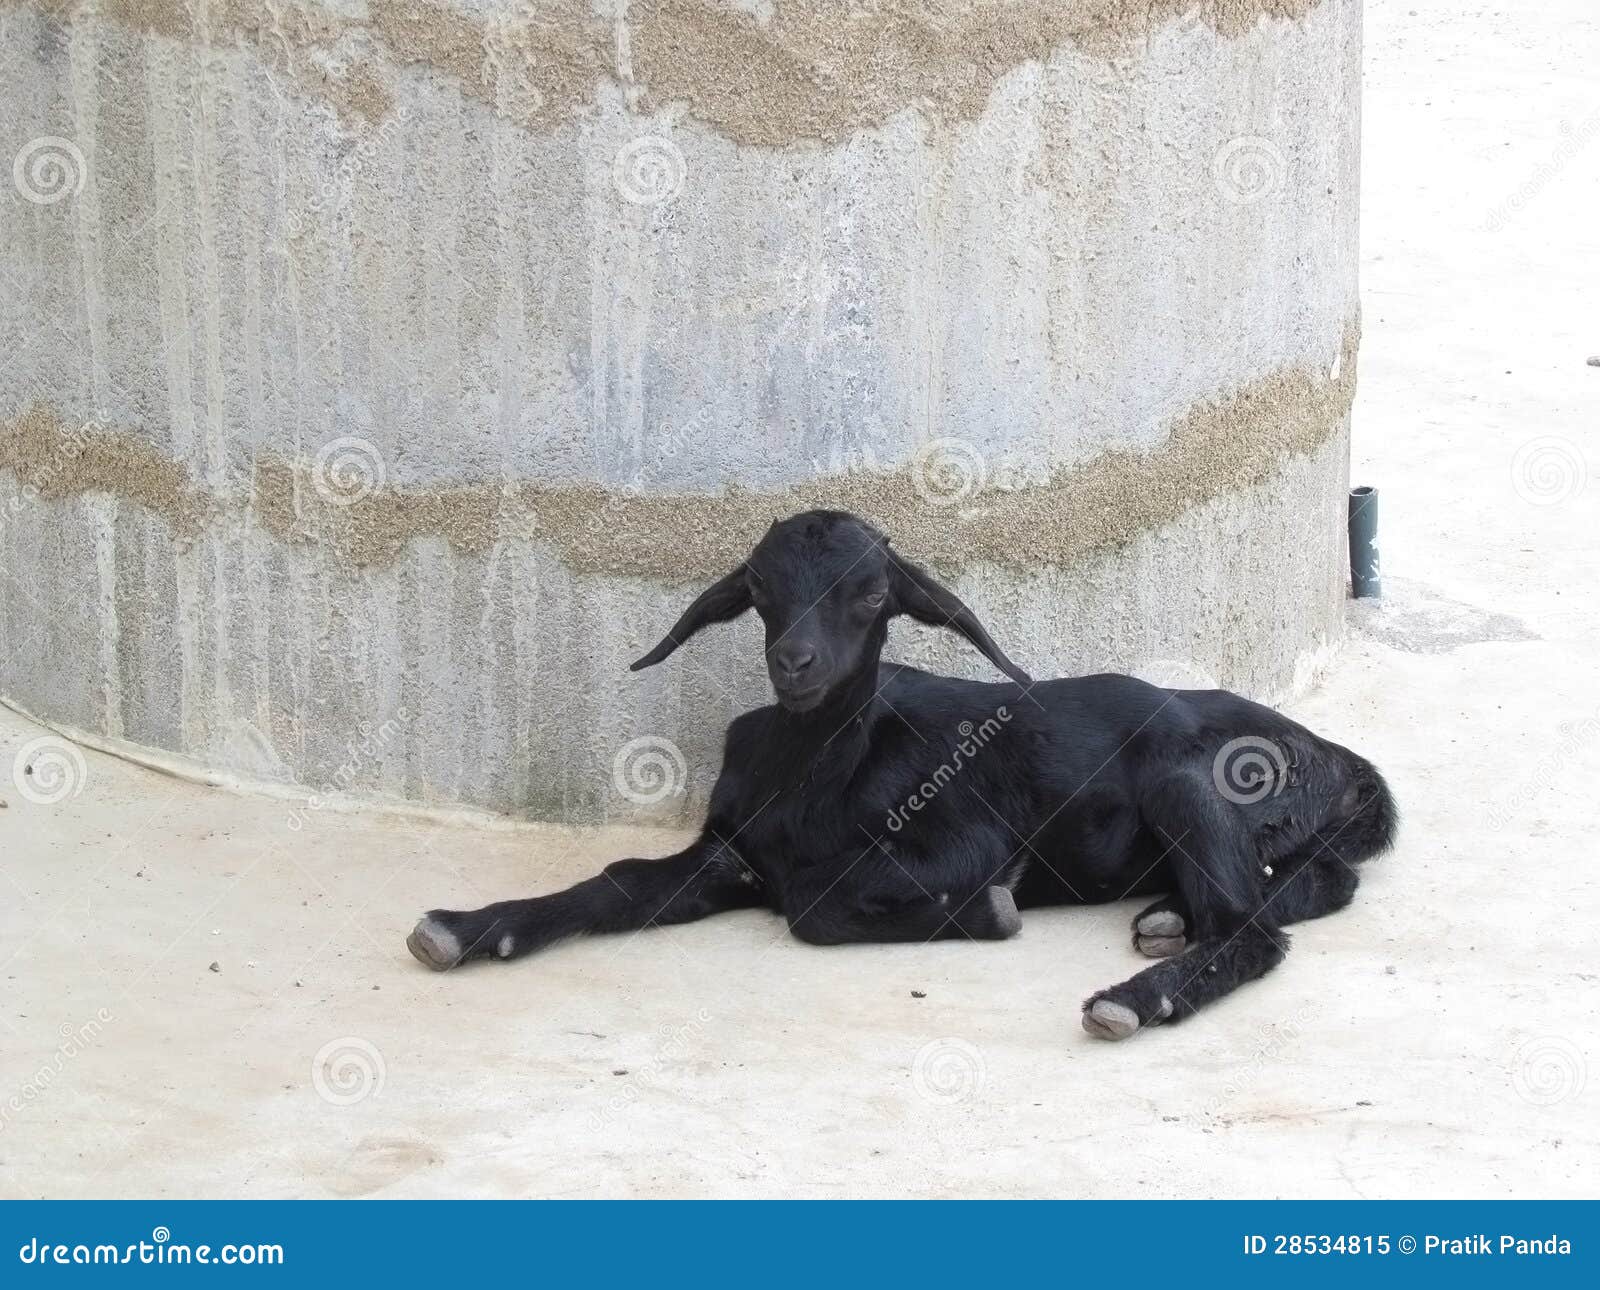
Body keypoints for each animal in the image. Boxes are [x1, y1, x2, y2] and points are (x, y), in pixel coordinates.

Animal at [407, 510, 1397, 1039]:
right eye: (758, 588)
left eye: (875, 594)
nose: (796, 664)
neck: (814, 777)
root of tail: (1339, 761)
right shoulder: (727, 853)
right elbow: (614, 882)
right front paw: (468, 926)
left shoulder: (967, 843)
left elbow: (817, 907)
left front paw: (986, 916)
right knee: (1324, 881)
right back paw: (1166, 919)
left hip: (1189, 780)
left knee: (1257, 929)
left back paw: (1136, 996)